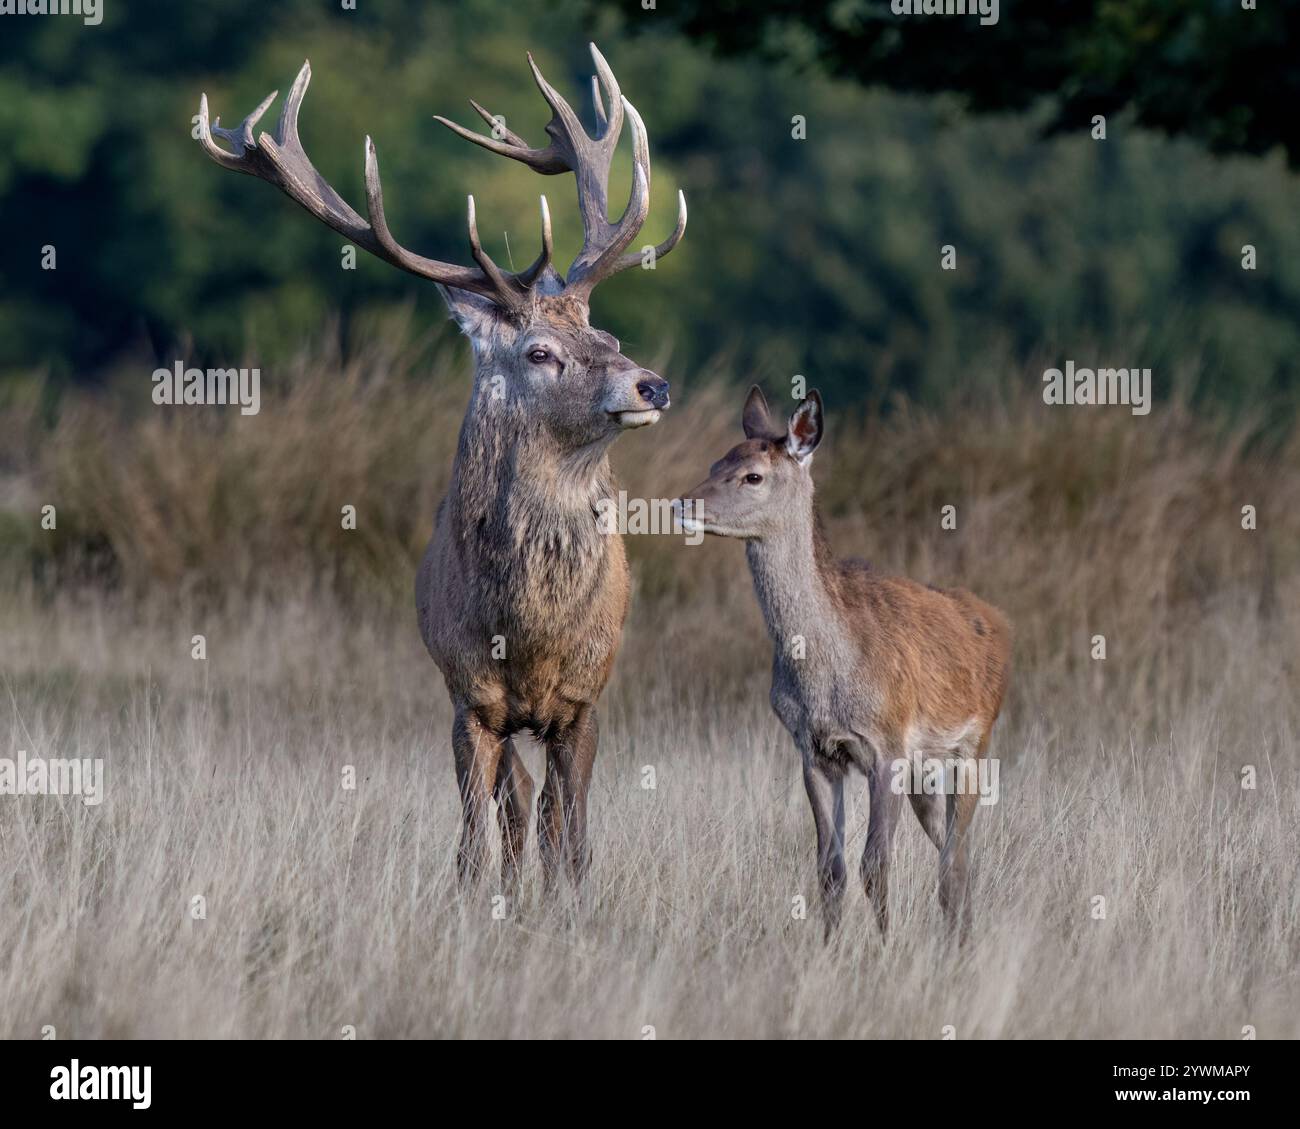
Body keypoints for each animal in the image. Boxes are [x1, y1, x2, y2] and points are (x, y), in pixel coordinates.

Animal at [197, 44, 686, 891]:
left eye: (609, 334)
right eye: (539, 352)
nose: (650, 384)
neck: (527, 632)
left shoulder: (586, 695)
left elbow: (573, 835)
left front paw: (571, 898)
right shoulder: (466, 696)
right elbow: (475, 838)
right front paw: (480, 898)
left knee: (544, 811)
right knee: (515, 807)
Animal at [675, 387, 1011, 940]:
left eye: (753, 476)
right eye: (716, 462)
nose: (682, 503)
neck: (827, 676)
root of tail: (997, 621)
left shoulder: (887, 744)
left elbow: (875, 864)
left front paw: (884, 946)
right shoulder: (813, 750)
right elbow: (829, 869)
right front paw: (830, 948)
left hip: (974, 743)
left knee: (954, 856)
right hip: (926, 767)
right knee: (953, 854)